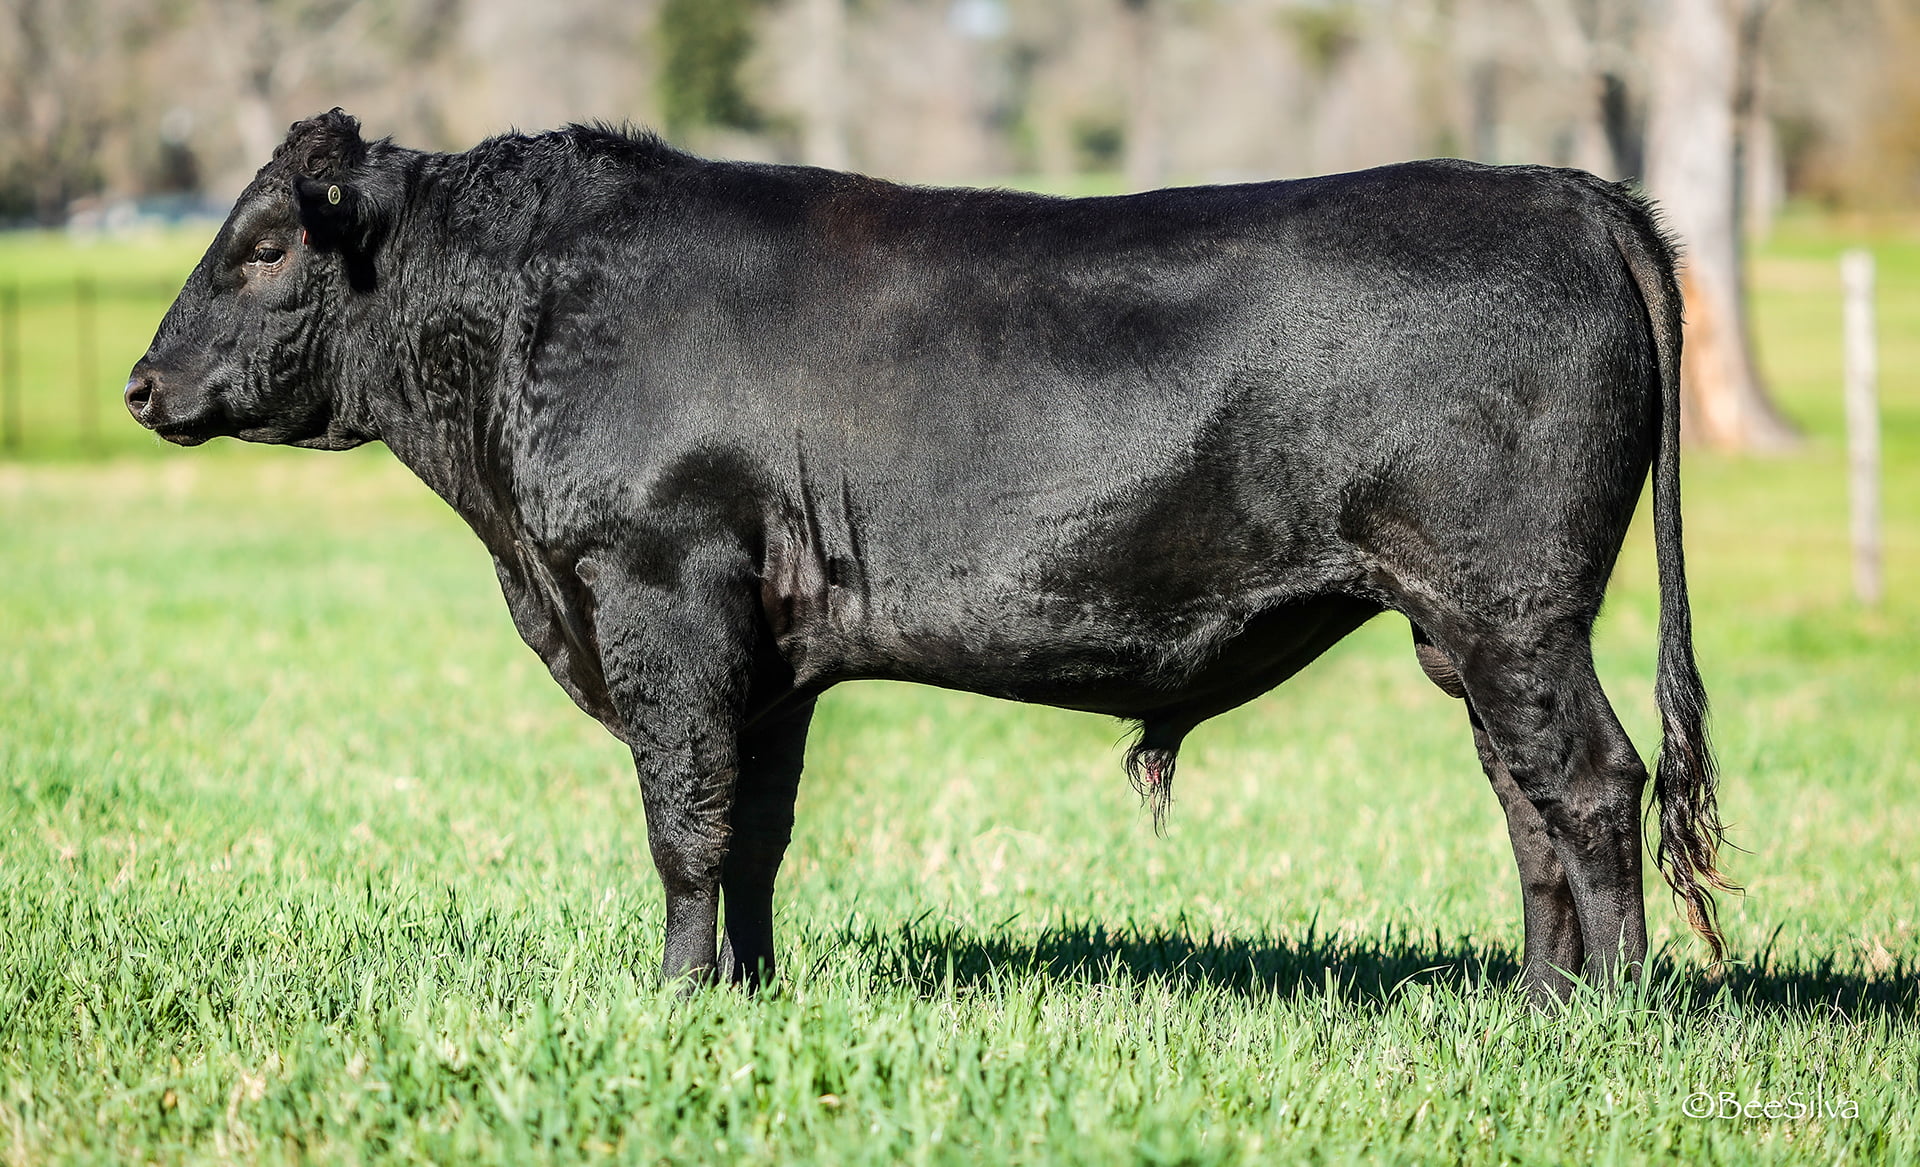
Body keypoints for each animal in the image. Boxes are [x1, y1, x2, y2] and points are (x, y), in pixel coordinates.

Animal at [127, 109, 1729, 1004]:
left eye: (263, 247)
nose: (143, 385)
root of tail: (1561, 189)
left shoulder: (664, 595)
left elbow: (682, 822)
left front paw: (672, 999)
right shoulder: (765, 654)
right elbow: (749, 827)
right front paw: (746, 993)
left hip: (1510, 604)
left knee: (1594, 785)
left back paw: (1613, 1015)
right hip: (1470, 625)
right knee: (1526, 799)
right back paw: (1530, 1003)